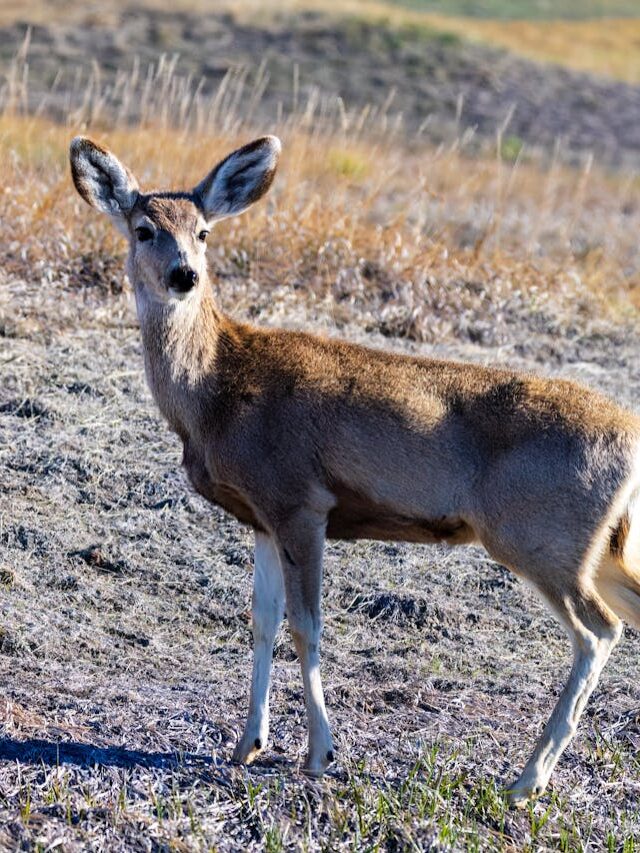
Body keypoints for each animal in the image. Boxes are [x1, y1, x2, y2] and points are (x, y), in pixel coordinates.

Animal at [69, 134, 640, 806]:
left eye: (203, 232)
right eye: (144, 228)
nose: (185, 275)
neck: (216, 392)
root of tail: (631, 435)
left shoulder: (300, 499)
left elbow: (306, 626)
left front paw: (319, 753)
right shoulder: (260, 516)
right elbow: (261, 621)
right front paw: (247, 744)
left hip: (543, 534)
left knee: (599, 632)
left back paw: (525, 778)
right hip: (600, 548)